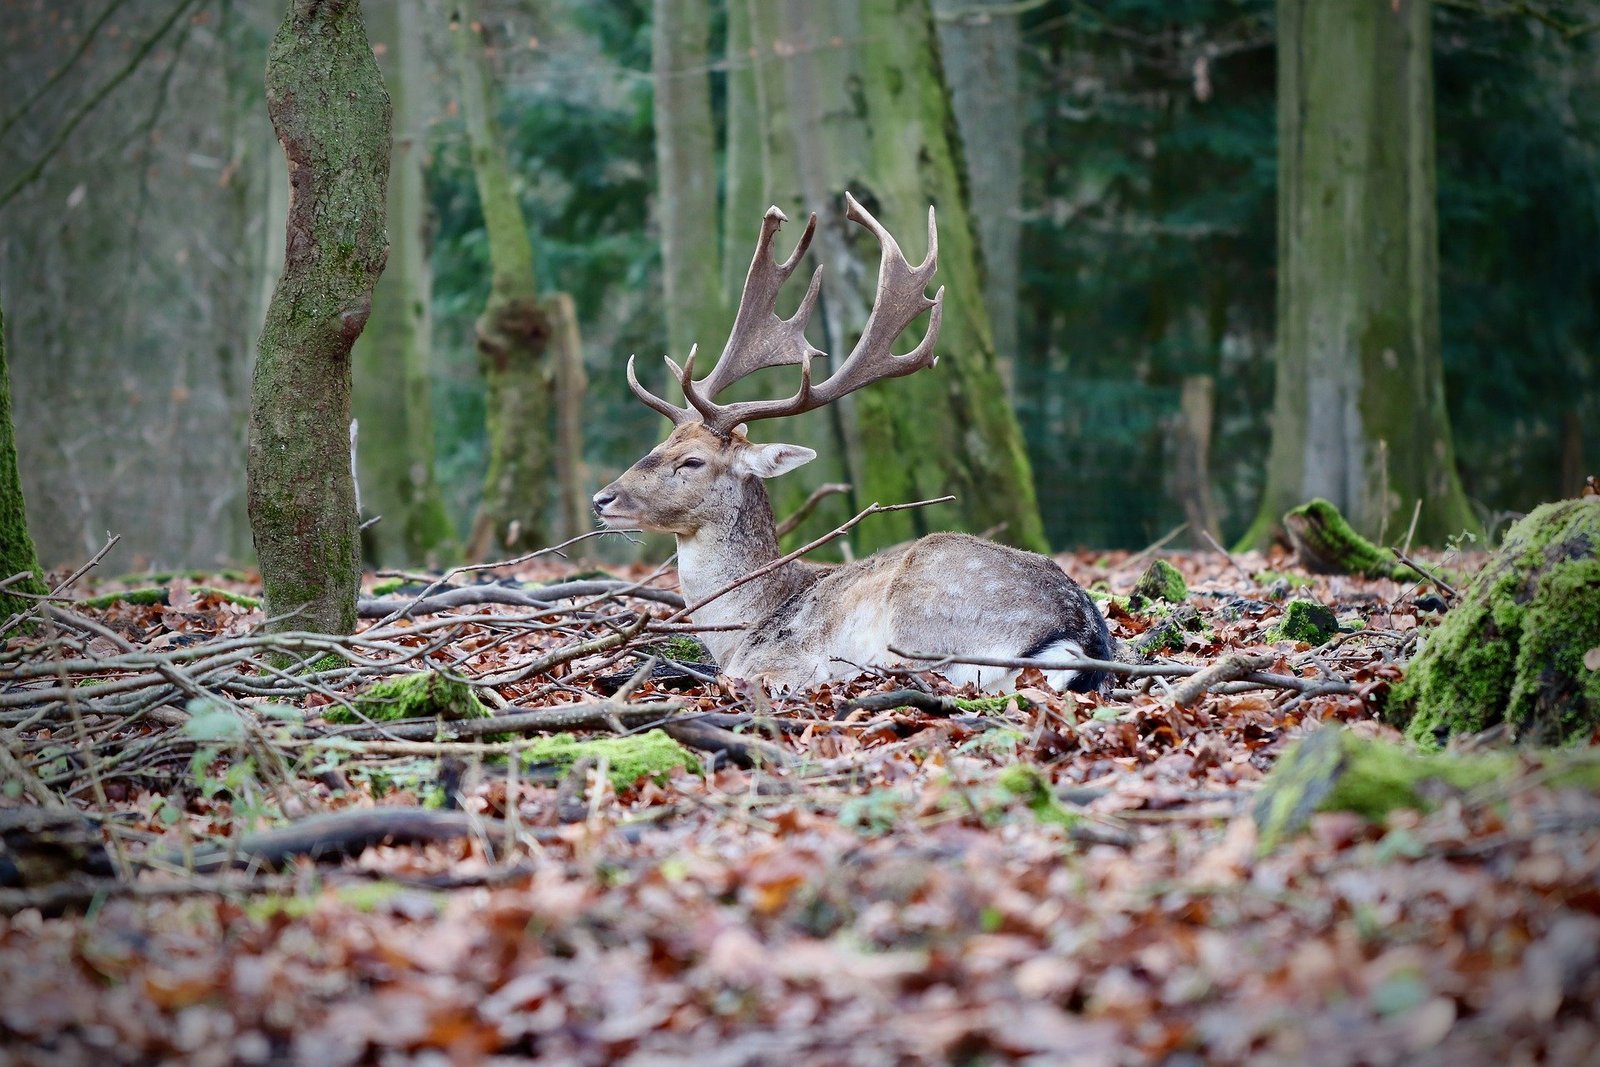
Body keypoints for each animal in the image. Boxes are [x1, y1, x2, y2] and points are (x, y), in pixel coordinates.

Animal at [592, 193, 1113, 695]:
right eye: (661, 444)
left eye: (693, 462)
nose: (602, 498)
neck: (741, 628)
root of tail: (1081, 635)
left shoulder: (777, 660)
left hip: (922, 616)